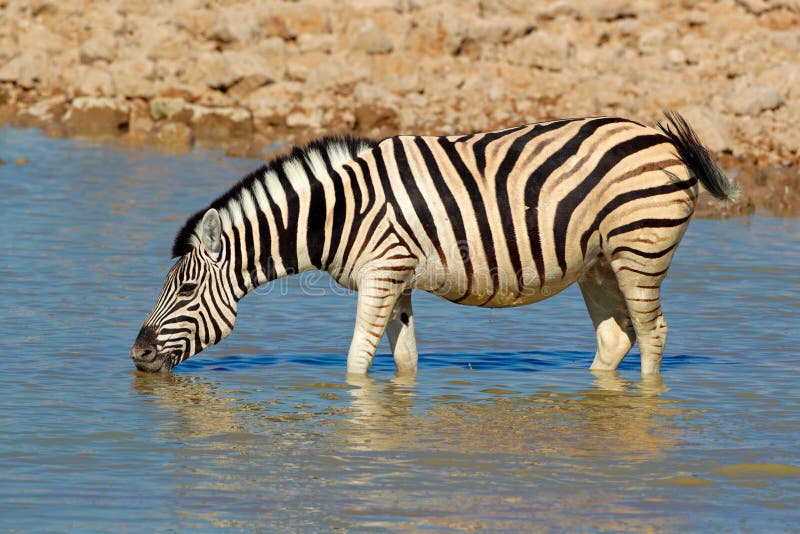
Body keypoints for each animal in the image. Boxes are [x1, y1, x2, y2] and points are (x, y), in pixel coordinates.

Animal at [131, 112, 739, 376]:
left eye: (186, 290)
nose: (136, 356)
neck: (341, 211)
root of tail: (662, 138)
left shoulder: (381, 274)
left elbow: (356, 360)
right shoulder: (396, 280)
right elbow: (404, 358)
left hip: (640, 250)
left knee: (654, 335)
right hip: (598, 264)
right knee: (616, 338)